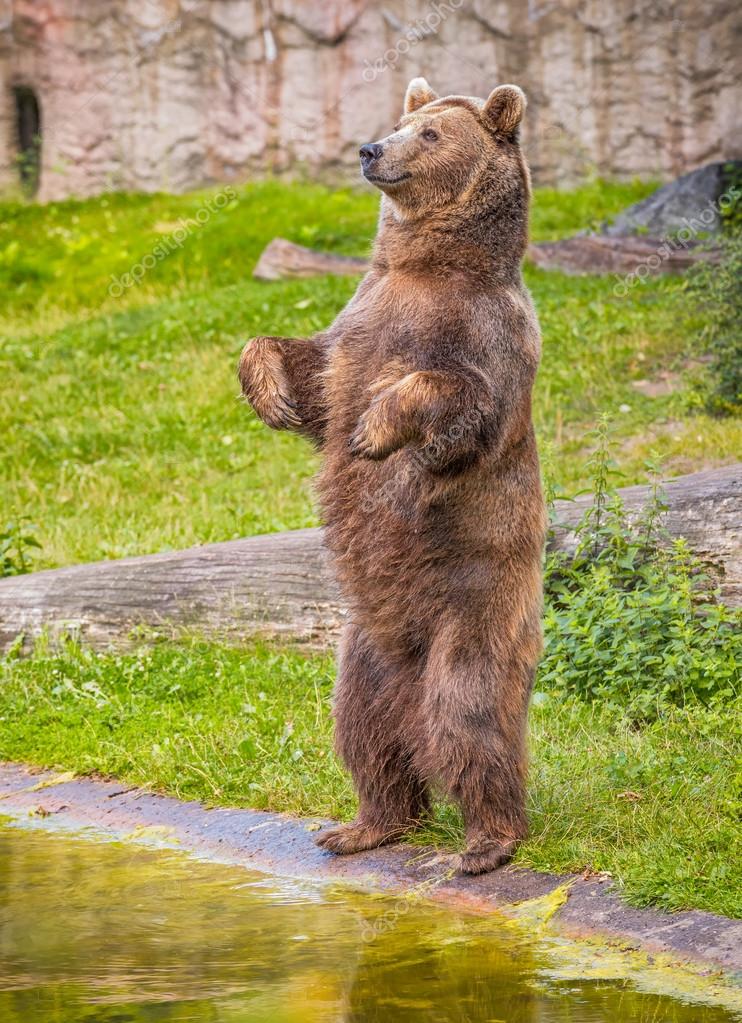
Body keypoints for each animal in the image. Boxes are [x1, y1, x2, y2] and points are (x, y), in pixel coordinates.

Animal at [238, 77, 546, 874]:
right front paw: (272, 391)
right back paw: (365, 823)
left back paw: (488, 839)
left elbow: (457, 402)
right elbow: (309, 369)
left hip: (476, 607)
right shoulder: (361, 318)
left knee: (468, 715)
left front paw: (376, 429)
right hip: (366, 649)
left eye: (432, 134)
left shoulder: (487, 336)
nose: (372, 149)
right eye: (404, 120)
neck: (428, 266)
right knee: (365, 728)